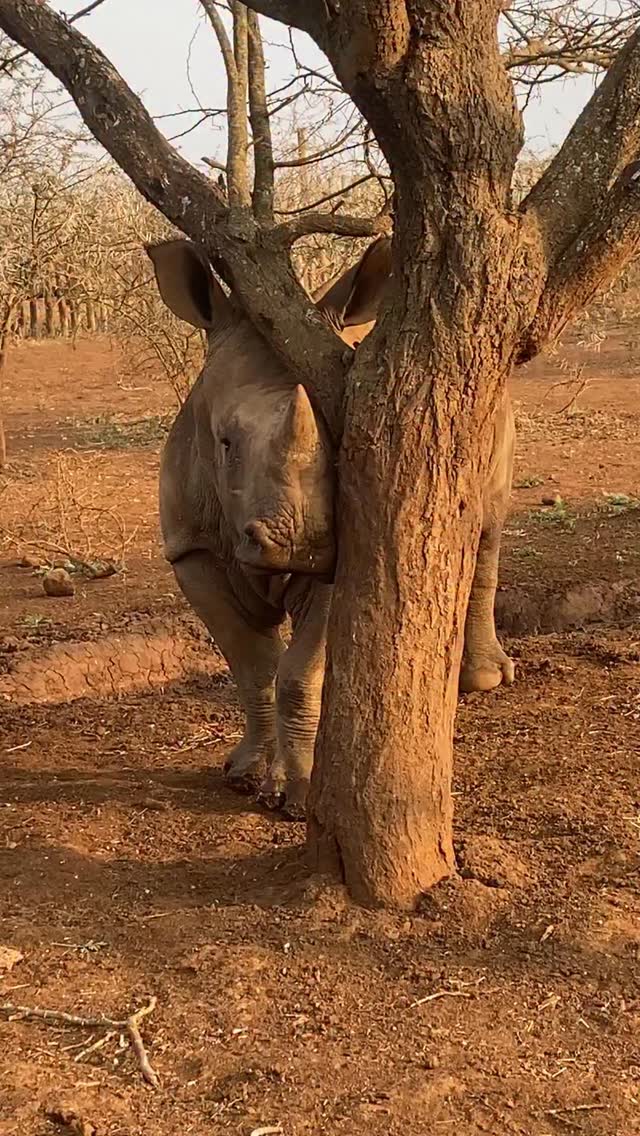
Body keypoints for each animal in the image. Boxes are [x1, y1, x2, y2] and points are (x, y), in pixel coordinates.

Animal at [147, 237, 515, 817]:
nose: (300, 544)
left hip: (488, 401)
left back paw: (478, 681)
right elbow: (252, 666)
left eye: (341, 440)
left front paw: (294, 797)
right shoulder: (191, 547)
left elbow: (297, 672)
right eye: (225, 443)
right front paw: (244, 775)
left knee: (485, 524)